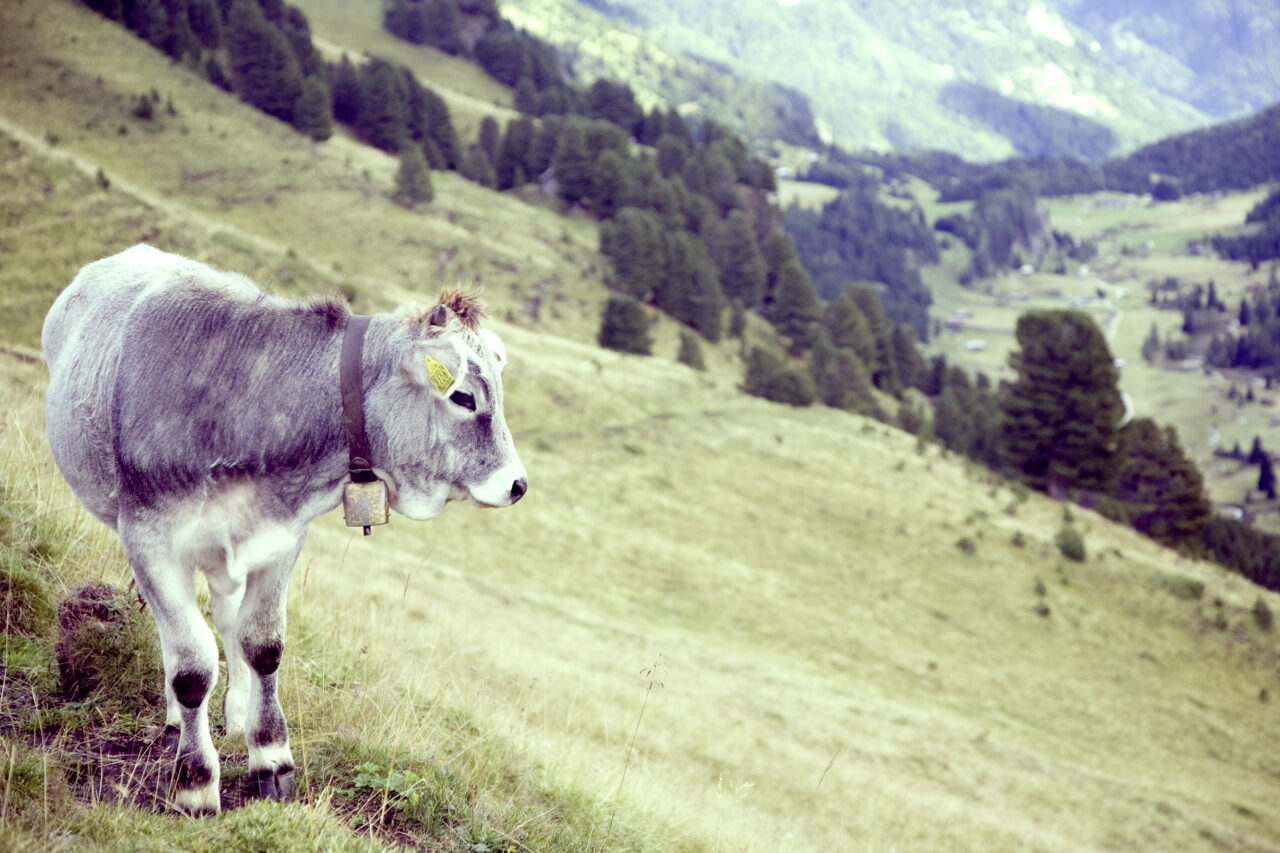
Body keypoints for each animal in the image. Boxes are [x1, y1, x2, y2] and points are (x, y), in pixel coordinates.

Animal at [41, 244, 527, 816]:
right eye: (463, 398)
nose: (517, 484)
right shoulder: (150, 540)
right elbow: (191, 666)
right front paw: (195, 782)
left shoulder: (280, 540)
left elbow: (262, 644)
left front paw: (270, 756)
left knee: (226, 619)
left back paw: (237, 710)